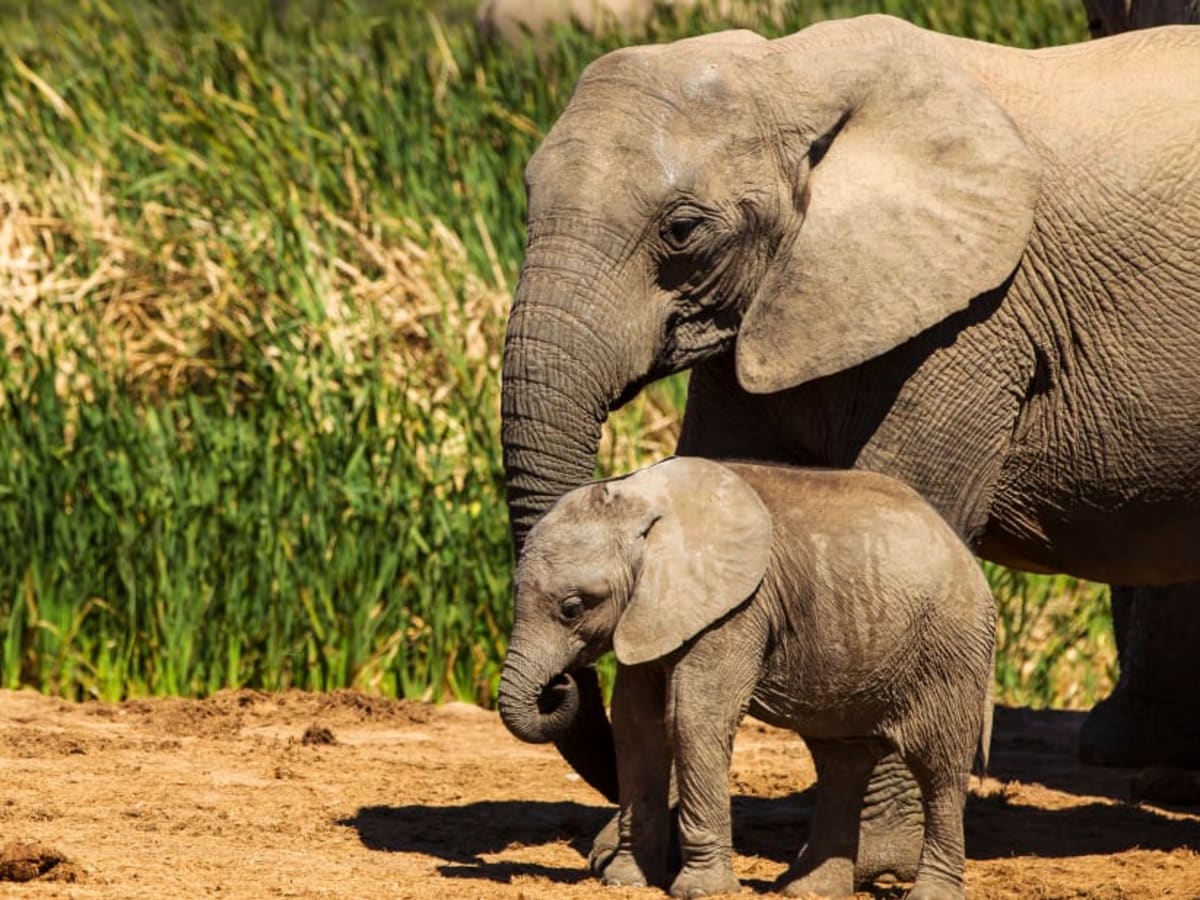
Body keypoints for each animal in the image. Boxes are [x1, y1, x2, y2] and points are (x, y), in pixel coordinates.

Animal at [499, 457, 995, 900]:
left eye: (572, 608)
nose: (558, 685)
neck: (645, 501)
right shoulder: (650, 612)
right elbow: (636, 724)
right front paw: (626, 881)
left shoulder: (737, 611)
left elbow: (694, 717)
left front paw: (701, 891)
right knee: (841, 761)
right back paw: (806, 892)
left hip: (949, 650)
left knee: (939, 767)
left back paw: (929, 895)